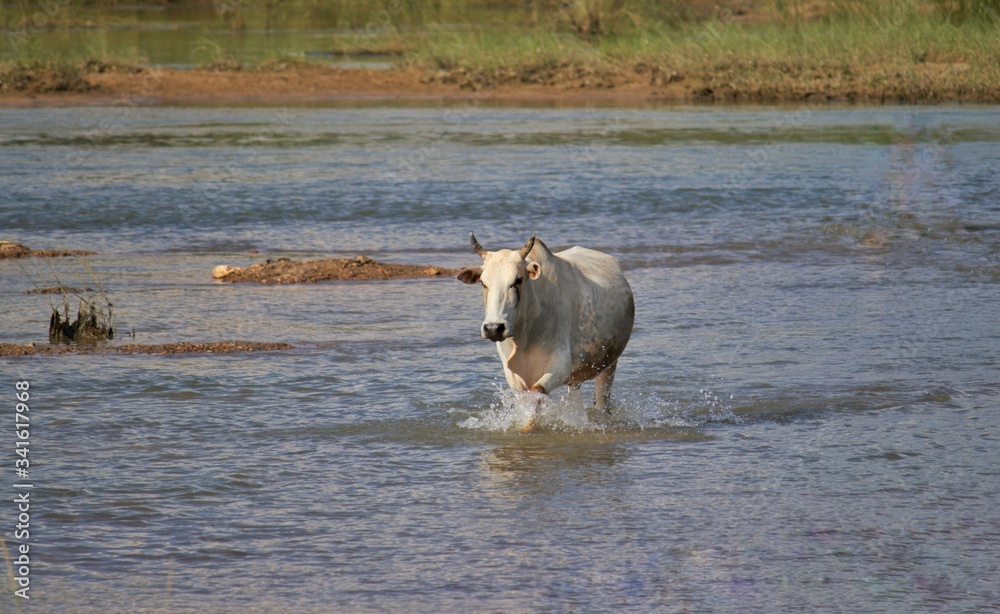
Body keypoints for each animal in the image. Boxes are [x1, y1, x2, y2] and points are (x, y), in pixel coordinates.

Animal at [457, 233, 635, 428]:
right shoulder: (513, 376)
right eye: (483, 282)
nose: (494, 328)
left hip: (609, 365)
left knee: (602, 401)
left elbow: (537, 393)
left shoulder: (559, 367)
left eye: (518, 280)